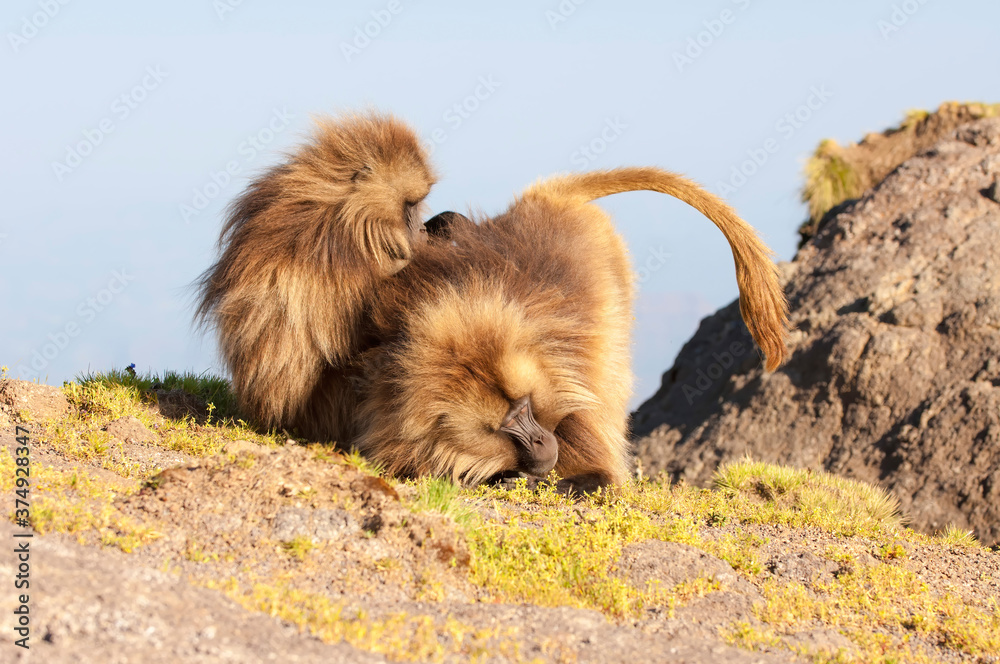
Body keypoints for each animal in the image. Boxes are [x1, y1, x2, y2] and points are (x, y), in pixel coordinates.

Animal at [353, 167, 788, 493]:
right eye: (507, 424)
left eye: (524, 408)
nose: (543, 443)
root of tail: (542, 201)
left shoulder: (569, 407)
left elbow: (601, 478)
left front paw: (521, 481)